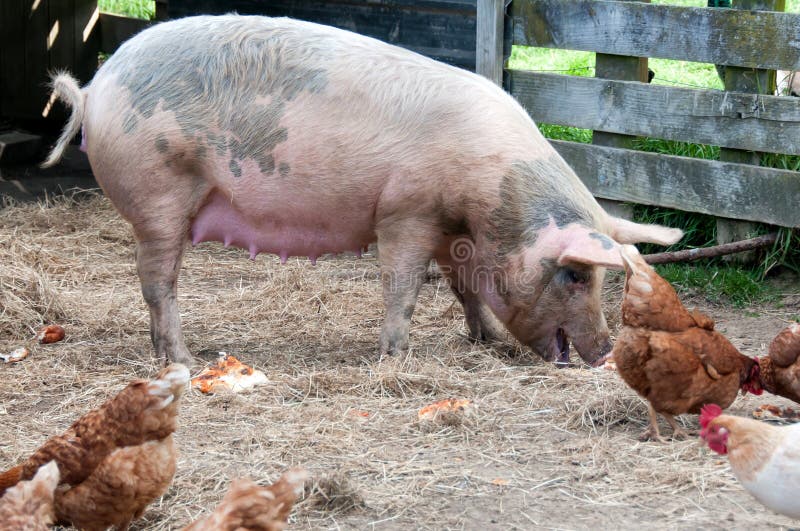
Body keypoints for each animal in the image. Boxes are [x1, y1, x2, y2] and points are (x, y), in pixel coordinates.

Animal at [42, 15, 682, 367]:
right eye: (574, 274)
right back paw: (184, 359)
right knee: (158, 282)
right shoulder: (407, 211)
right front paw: (394, 356)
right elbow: (403, 287)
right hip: (159, 192)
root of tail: (96, 87)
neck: (485, 200)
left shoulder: (454, 233)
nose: (606, 352)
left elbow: (465, 288)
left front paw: (487, 341)